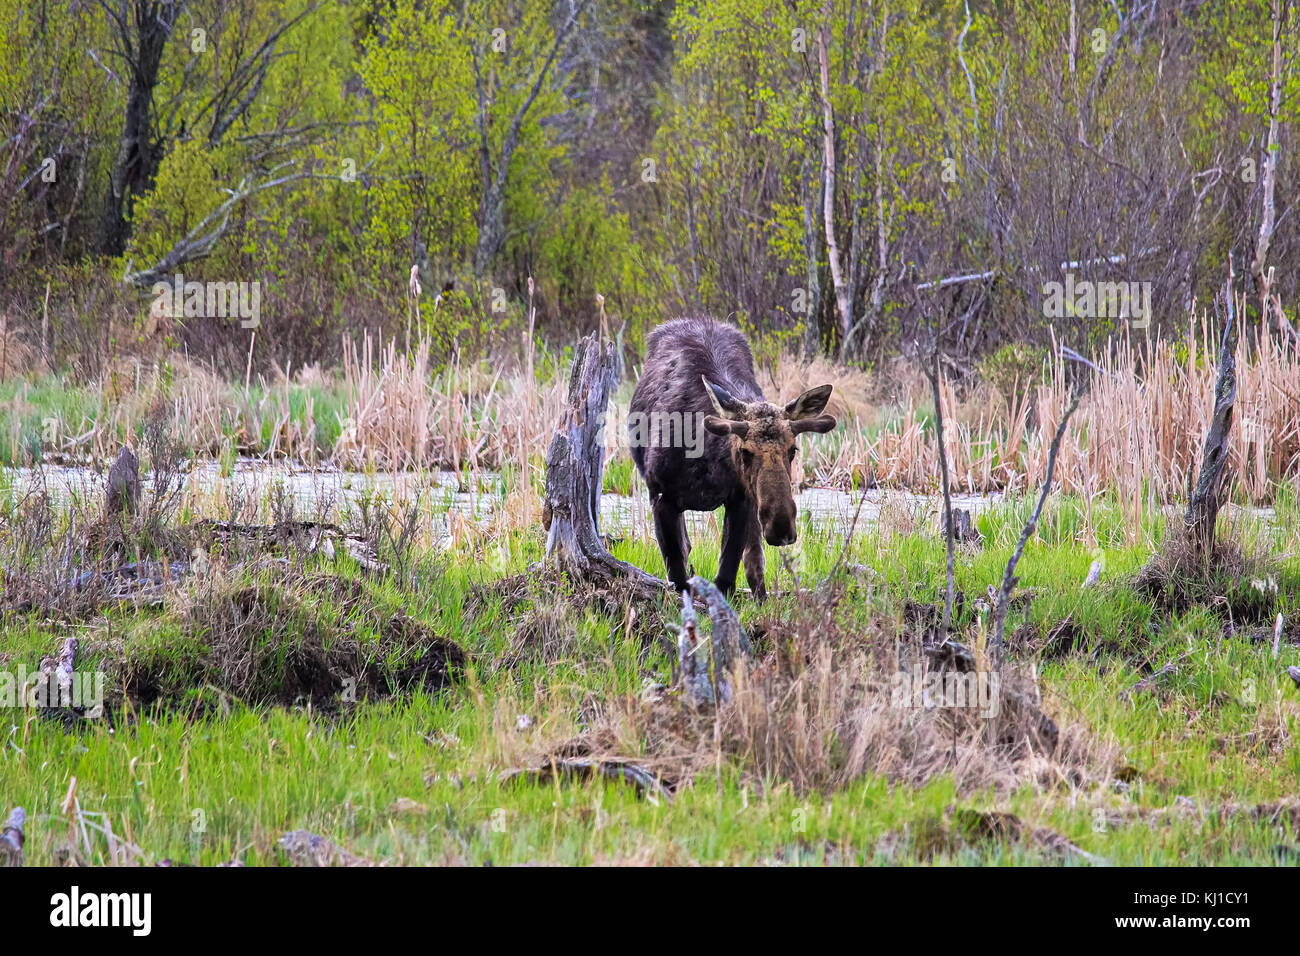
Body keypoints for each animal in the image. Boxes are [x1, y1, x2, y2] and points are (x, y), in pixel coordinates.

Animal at [628, 317, 838, 600]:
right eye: (745, 451)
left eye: (793, 450)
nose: (781, 527)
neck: (706, 464)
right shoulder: (661, 496)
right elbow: (678, 575)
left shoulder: (741, 499)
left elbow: (727, 576)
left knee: (754, 561)